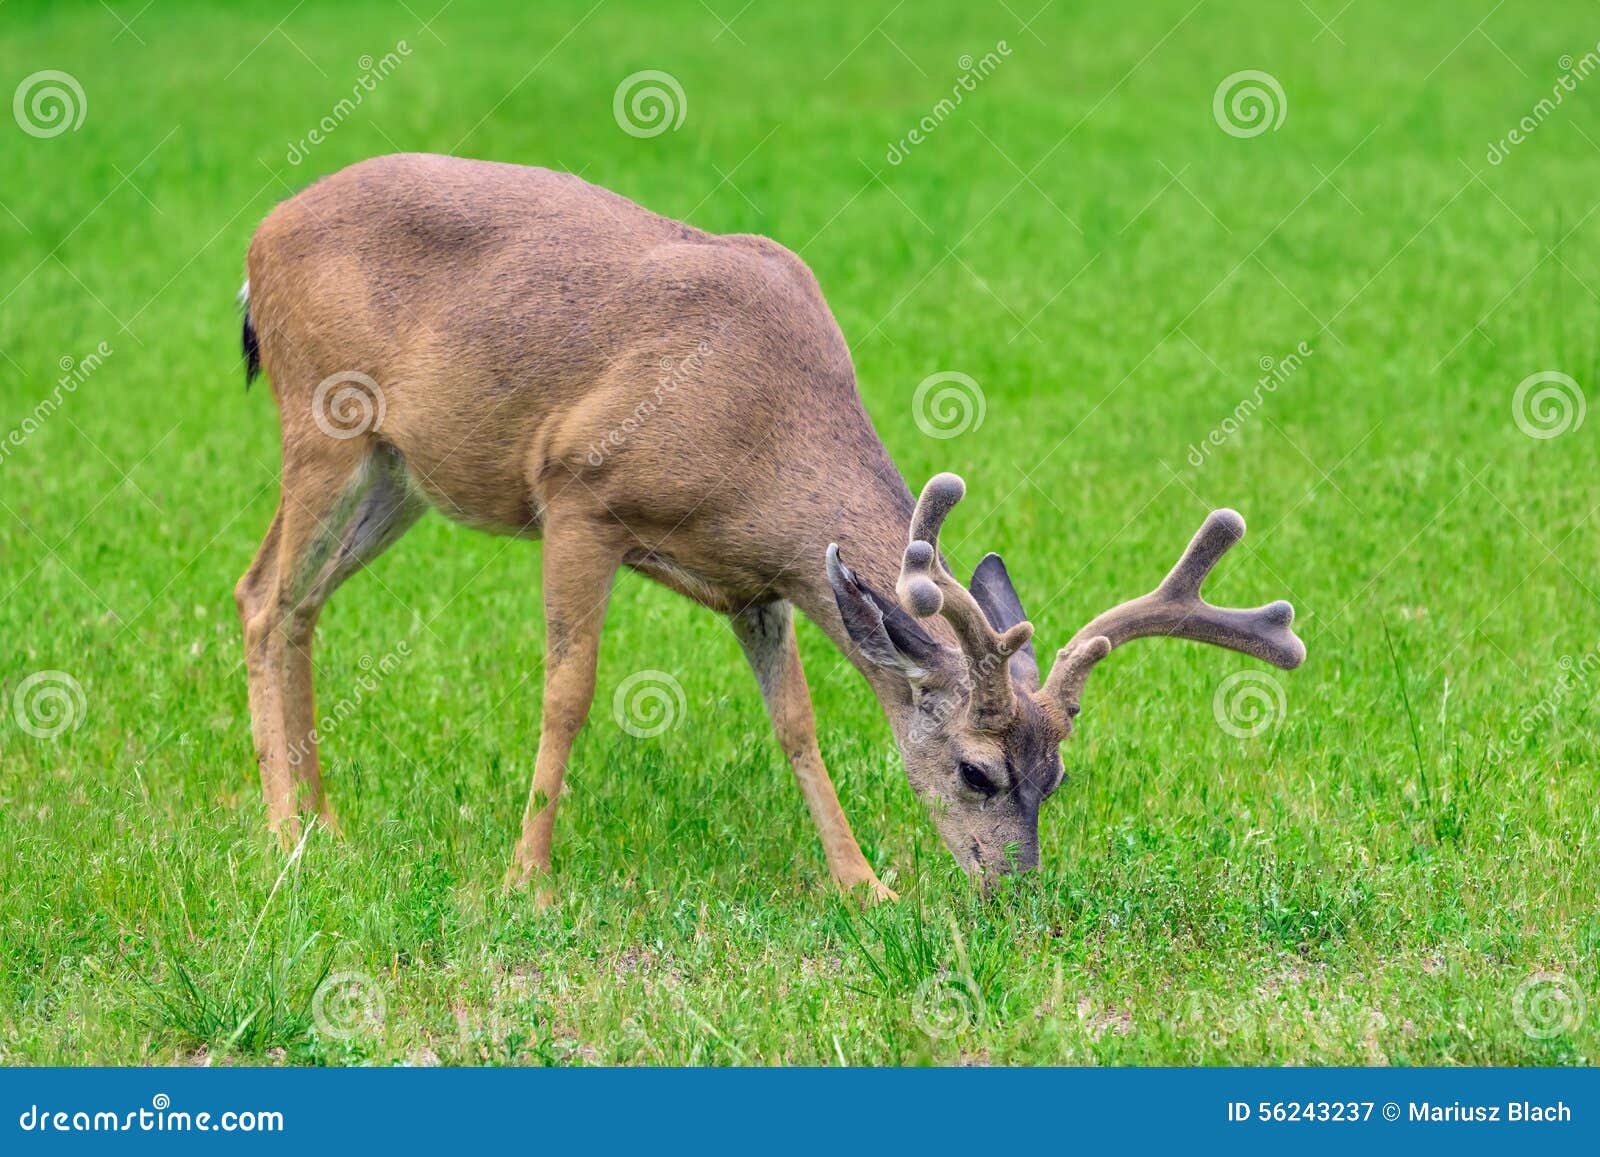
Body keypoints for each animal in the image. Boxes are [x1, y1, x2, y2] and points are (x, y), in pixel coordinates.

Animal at [235, 153, 1305, 901]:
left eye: (1059, 776)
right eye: (978, 769)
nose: (1015, 890)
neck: (760, 435)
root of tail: (257, 242)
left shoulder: (762, 580)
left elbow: (796, 722)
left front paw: (865, 885)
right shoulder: (580, 493)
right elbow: (567, 695)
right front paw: (525, 881)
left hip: (397, 471)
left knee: (299, 601)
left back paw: (327, 824)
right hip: (320, 418)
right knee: (259, 596)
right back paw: (284, 832)